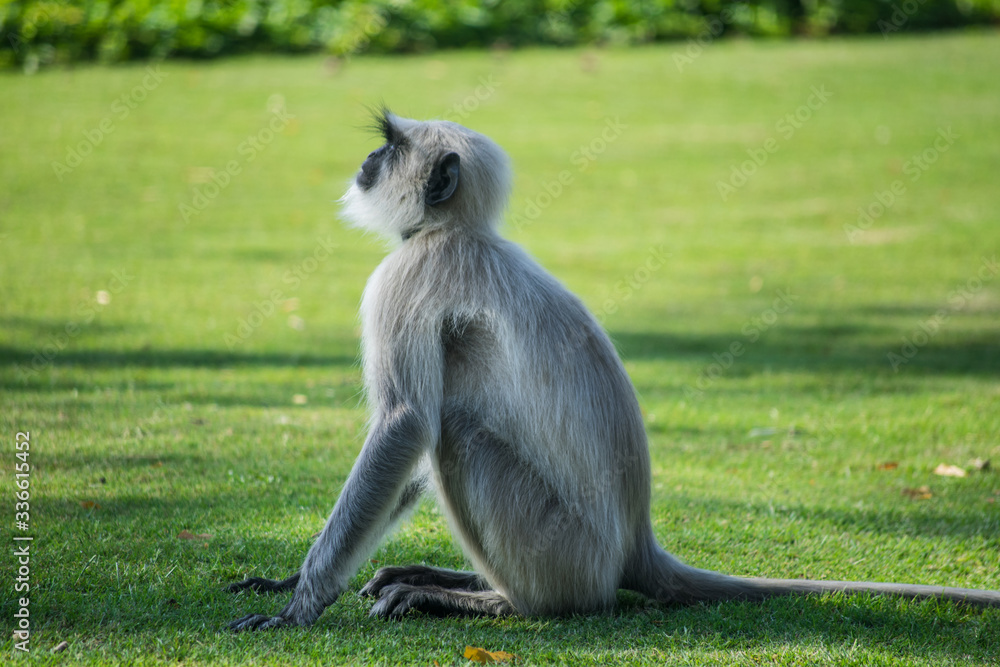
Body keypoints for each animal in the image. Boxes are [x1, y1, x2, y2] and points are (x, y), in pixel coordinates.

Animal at [227, 109, 1000, 631]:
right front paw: (290, 580)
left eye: (390, 146)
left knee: (459, 437)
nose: (366, 157)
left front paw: (300, 604)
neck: (458, 231)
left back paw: (491, 600)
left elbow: (405, 425)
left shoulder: (405, 278)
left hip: (564, 548)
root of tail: (635, 545)